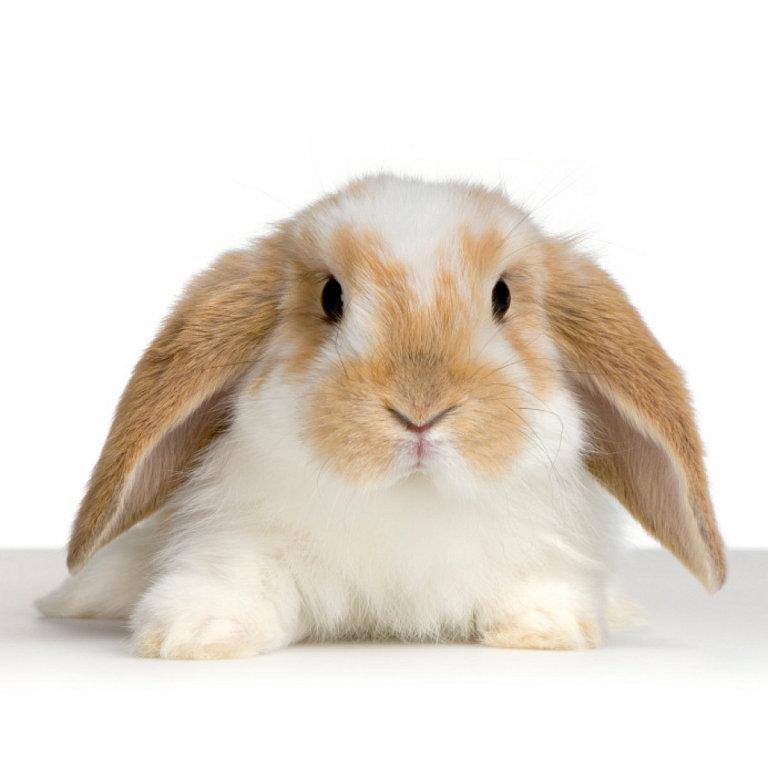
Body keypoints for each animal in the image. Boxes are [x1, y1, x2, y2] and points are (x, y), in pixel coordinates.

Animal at [37, 174, 725, 659]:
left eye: (503, 296)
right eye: (330, 296)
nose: (420, 409)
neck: (407, 500)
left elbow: (537, 587)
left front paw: (546, 628)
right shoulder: (235, 539)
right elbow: (232, 580)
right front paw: (197, 634)